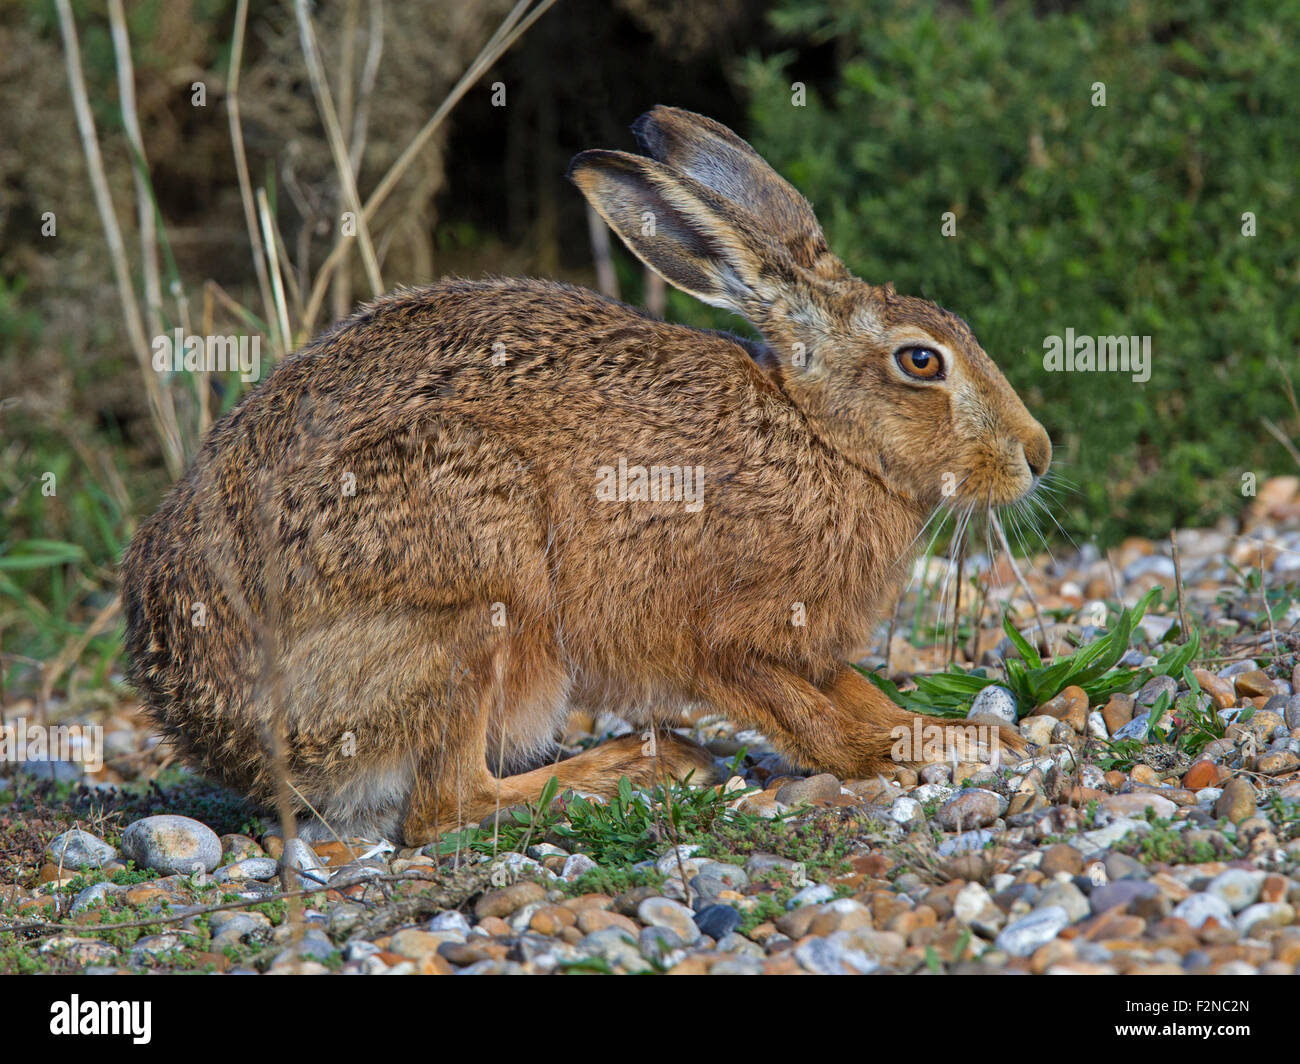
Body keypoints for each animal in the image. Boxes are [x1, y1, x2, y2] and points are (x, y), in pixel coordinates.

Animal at [121, 106, 1050, 846]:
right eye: (921, 361)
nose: (1036, 454)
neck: (819, 436)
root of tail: (218, 731)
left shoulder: (806, 647)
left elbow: (856, 691)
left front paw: (960, 732)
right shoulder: (716, 635)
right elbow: (811, 722)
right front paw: (910, 751)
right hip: (473, 588)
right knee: (446, 805)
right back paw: (635, 768)